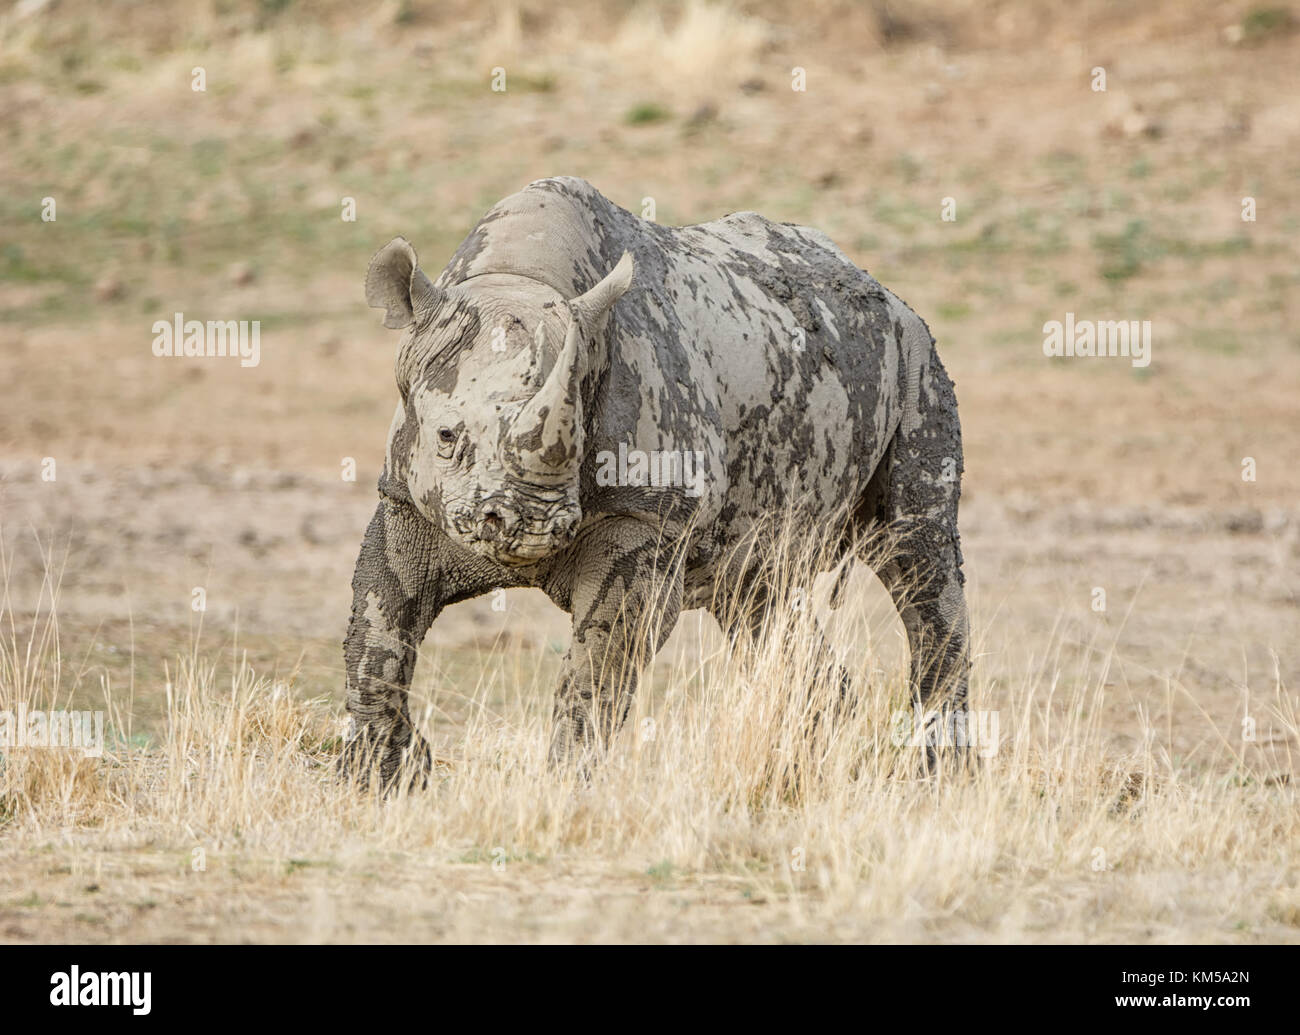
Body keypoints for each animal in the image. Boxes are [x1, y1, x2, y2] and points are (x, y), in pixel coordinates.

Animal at [340, 176, 969, 786]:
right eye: (446, 436)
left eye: (577, 430)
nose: (530, 525)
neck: (516, 278)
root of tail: (884, 291)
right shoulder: (407, 498)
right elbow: (379, 624)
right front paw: (385, 776)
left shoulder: (645, 516)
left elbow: (600, 663)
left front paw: (565, 787)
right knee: (759, 597)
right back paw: (817, 774)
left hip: (917, 358)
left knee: (918, 556)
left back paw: (934, 776)